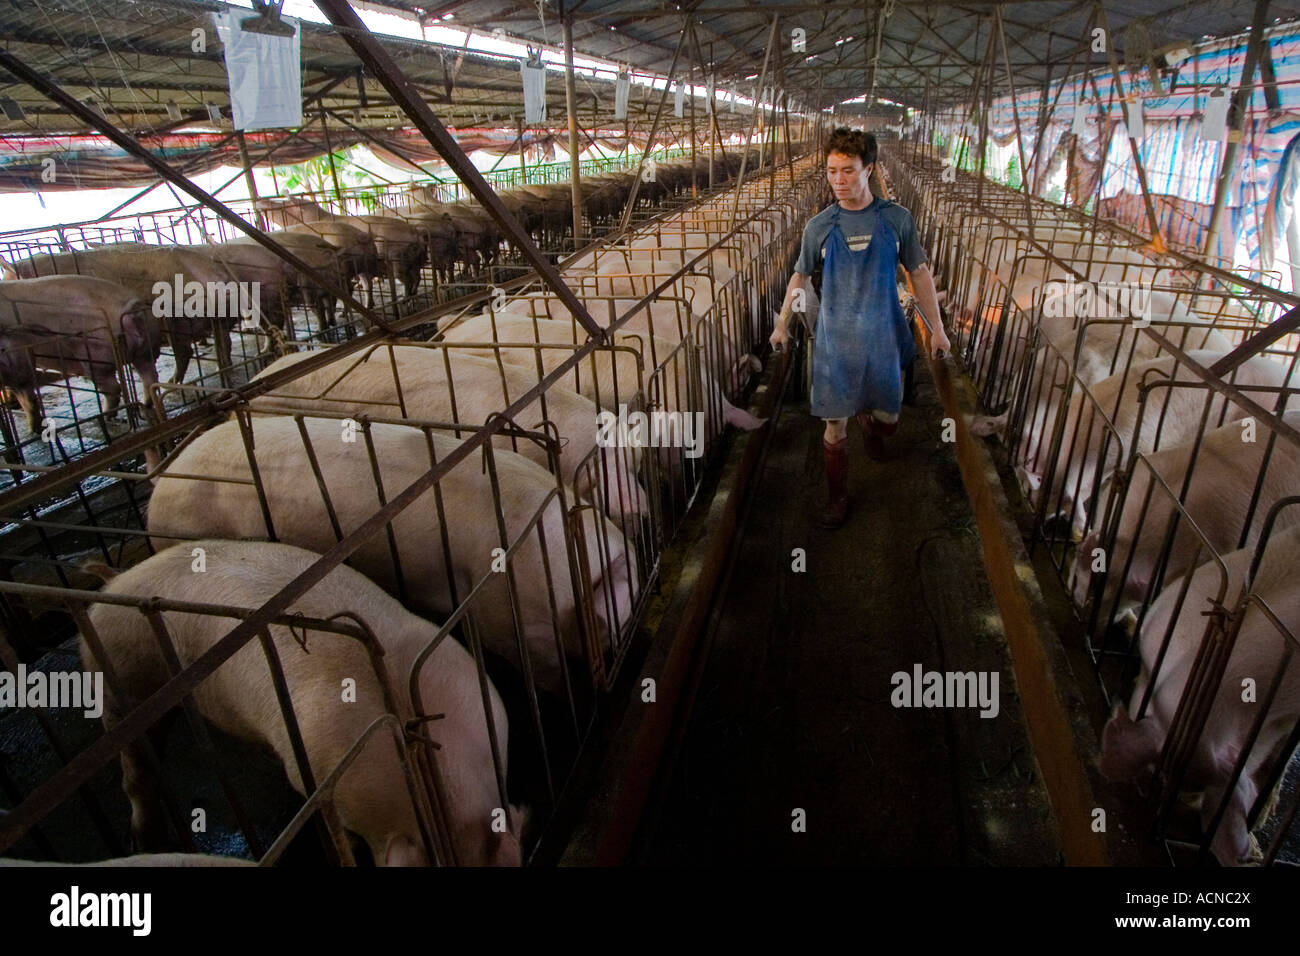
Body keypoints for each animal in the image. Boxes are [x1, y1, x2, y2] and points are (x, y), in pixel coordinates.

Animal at [0, 274, 162, 429]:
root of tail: (131, 308)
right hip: (146, 348)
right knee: (149, 377)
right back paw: (145, 404)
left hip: (94, 357)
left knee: (113, 388)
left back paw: (103, 417)